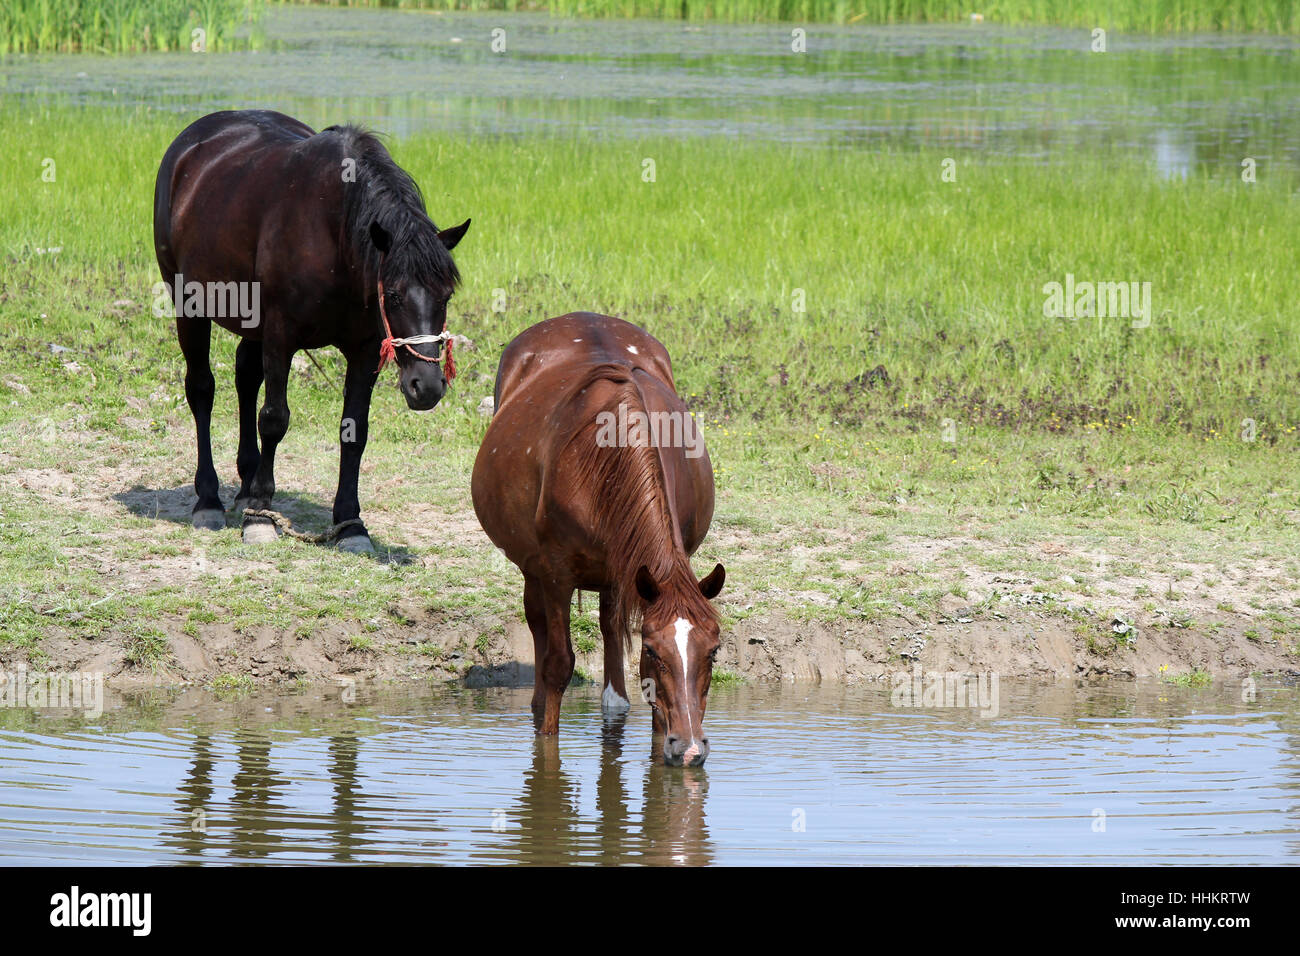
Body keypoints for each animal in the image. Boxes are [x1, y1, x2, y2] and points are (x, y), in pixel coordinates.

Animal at [152, 109, 470, 551]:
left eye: (446, 294)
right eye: (393, 293)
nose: (426, 386)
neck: (333, 233)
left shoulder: (364, 350)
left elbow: (354, 431)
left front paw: (351, 524)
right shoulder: (280, 337)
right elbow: (274, 419)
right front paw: (261, 517)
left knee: (245, 377)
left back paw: (245, 486)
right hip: (188, 304)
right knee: (201, 389)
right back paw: (209, 499)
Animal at [471, 313, 726, 766]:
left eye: (713, 651)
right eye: (654, 651)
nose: (691, 747)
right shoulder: (556, 573)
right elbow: (558, 664)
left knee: (609, 624)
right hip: (535, 568)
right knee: (537, 622)